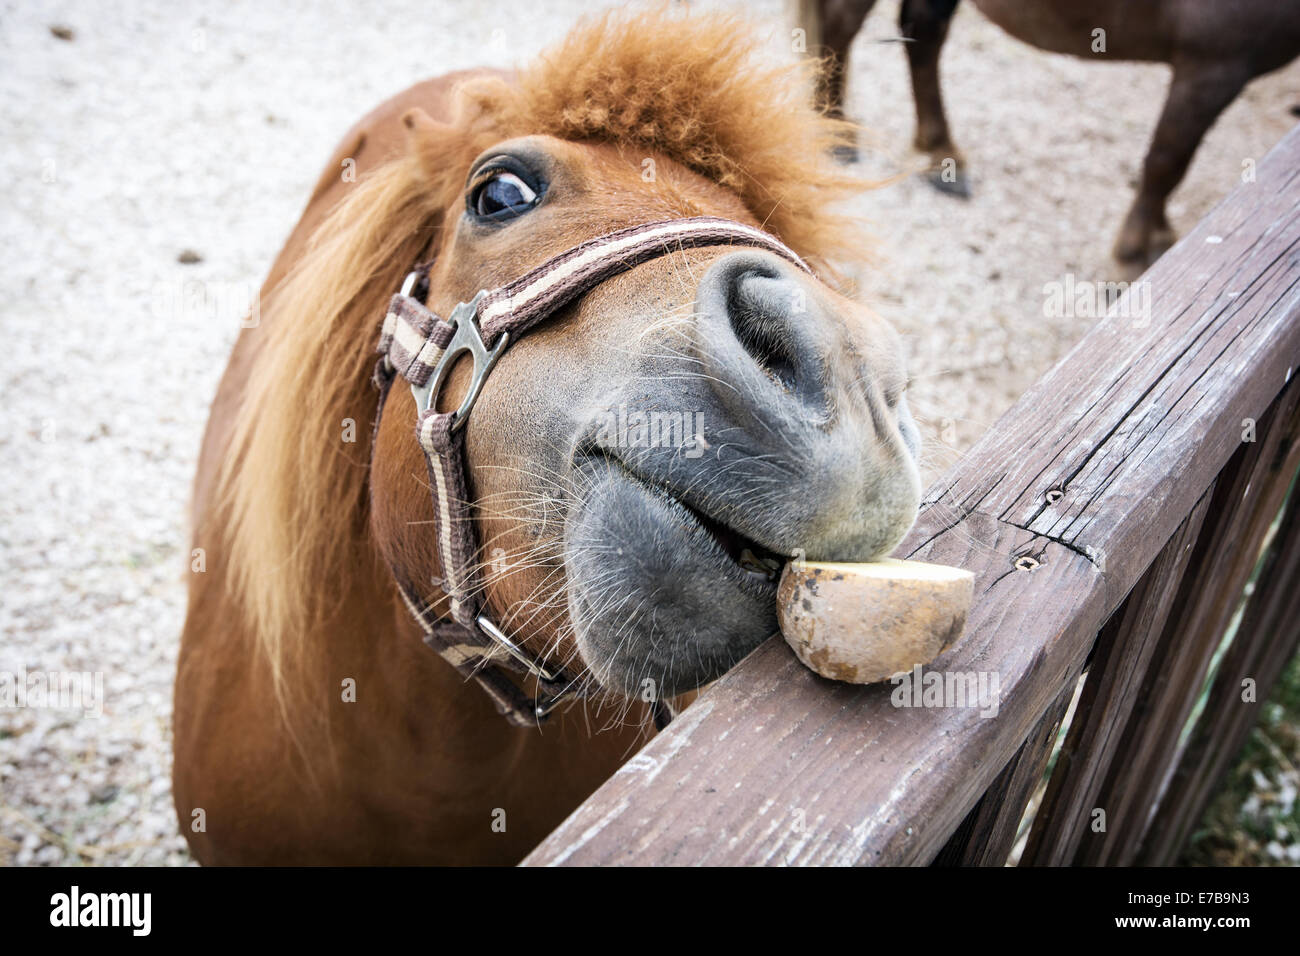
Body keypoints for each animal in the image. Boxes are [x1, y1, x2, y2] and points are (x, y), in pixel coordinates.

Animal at [799, 0, 1300, 269]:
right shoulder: (1212, 63)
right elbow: (1168, 160)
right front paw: (1135, 251)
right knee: (843, 23)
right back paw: (836, 131)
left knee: (923, 32)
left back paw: (941, 155)